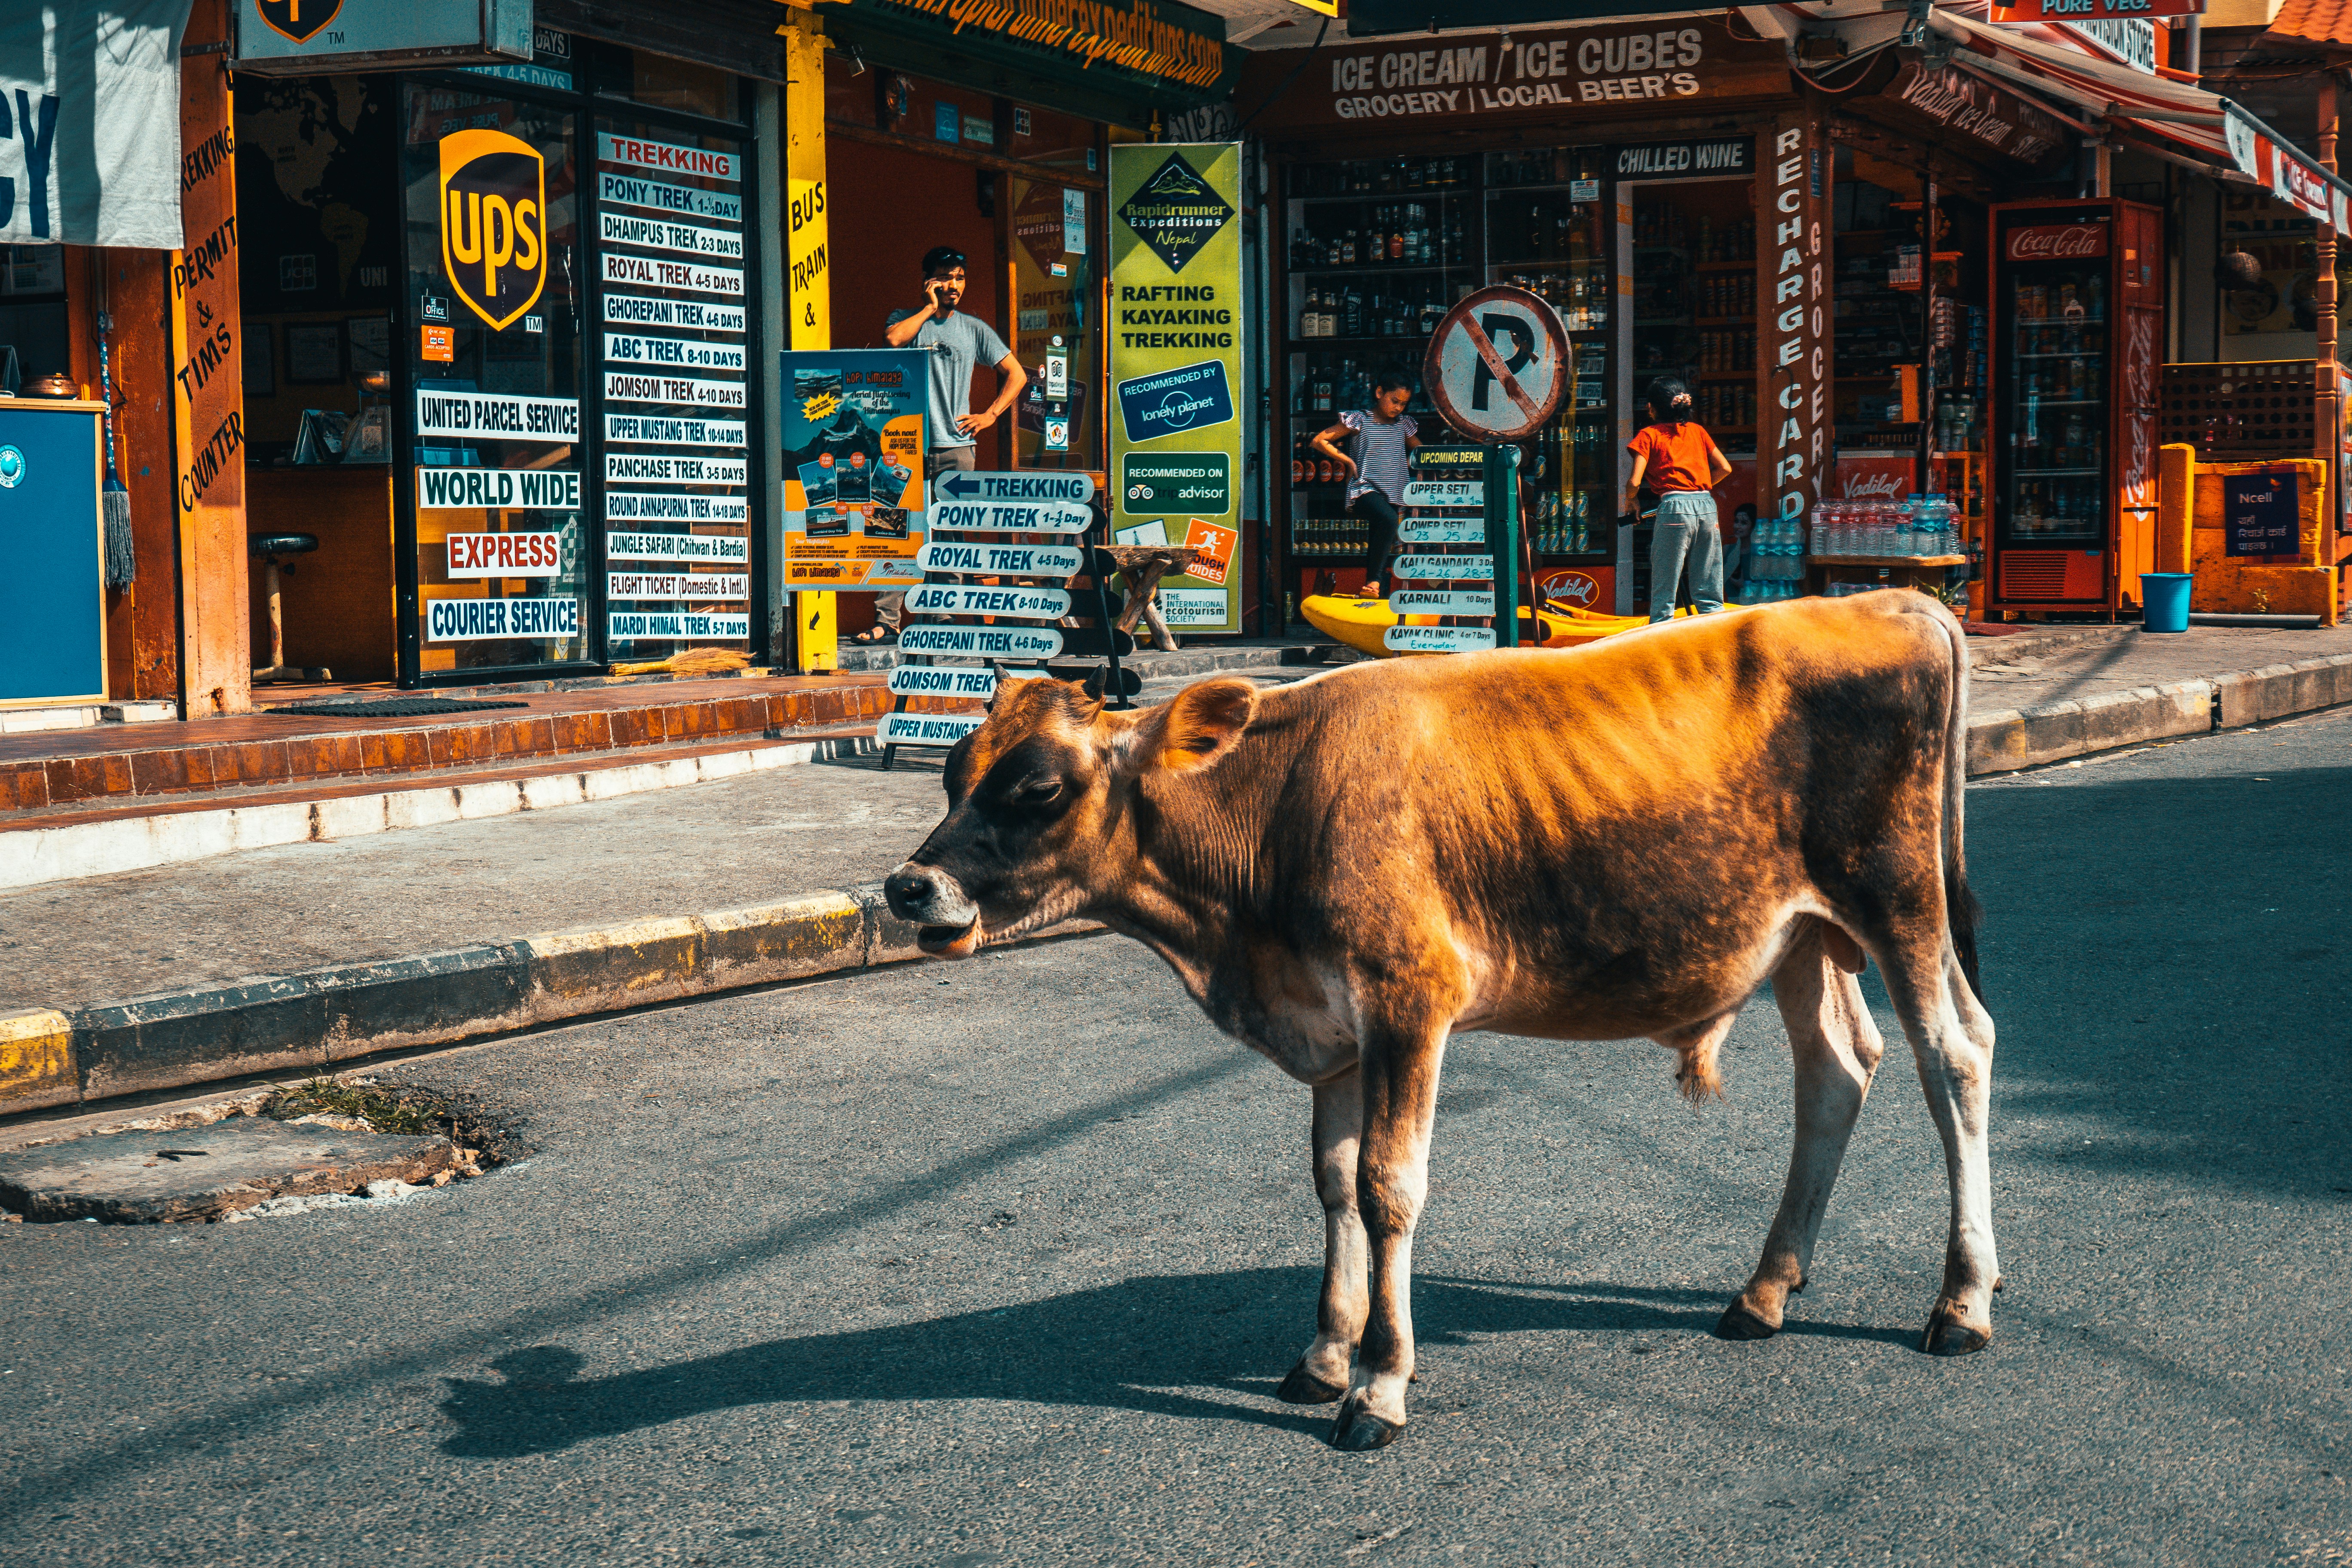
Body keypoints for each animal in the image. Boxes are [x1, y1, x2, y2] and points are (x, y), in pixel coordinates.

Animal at [884, 592, 1996, 1451]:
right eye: (950, 770)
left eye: (1037, 785)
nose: (907, 887)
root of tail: (1892, 601)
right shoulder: (1333, 1028)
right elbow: (1332, 1183)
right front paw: (1325, 1355)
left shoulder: (1408, 998)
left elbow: (1389, 1188)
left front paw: (1378, 1386)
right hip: (1802, 934)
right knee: (1837, 1070)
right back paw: (1765, 1289)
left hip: (1899, 901)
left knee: (1955, 1055)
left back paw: (1962, 1300)